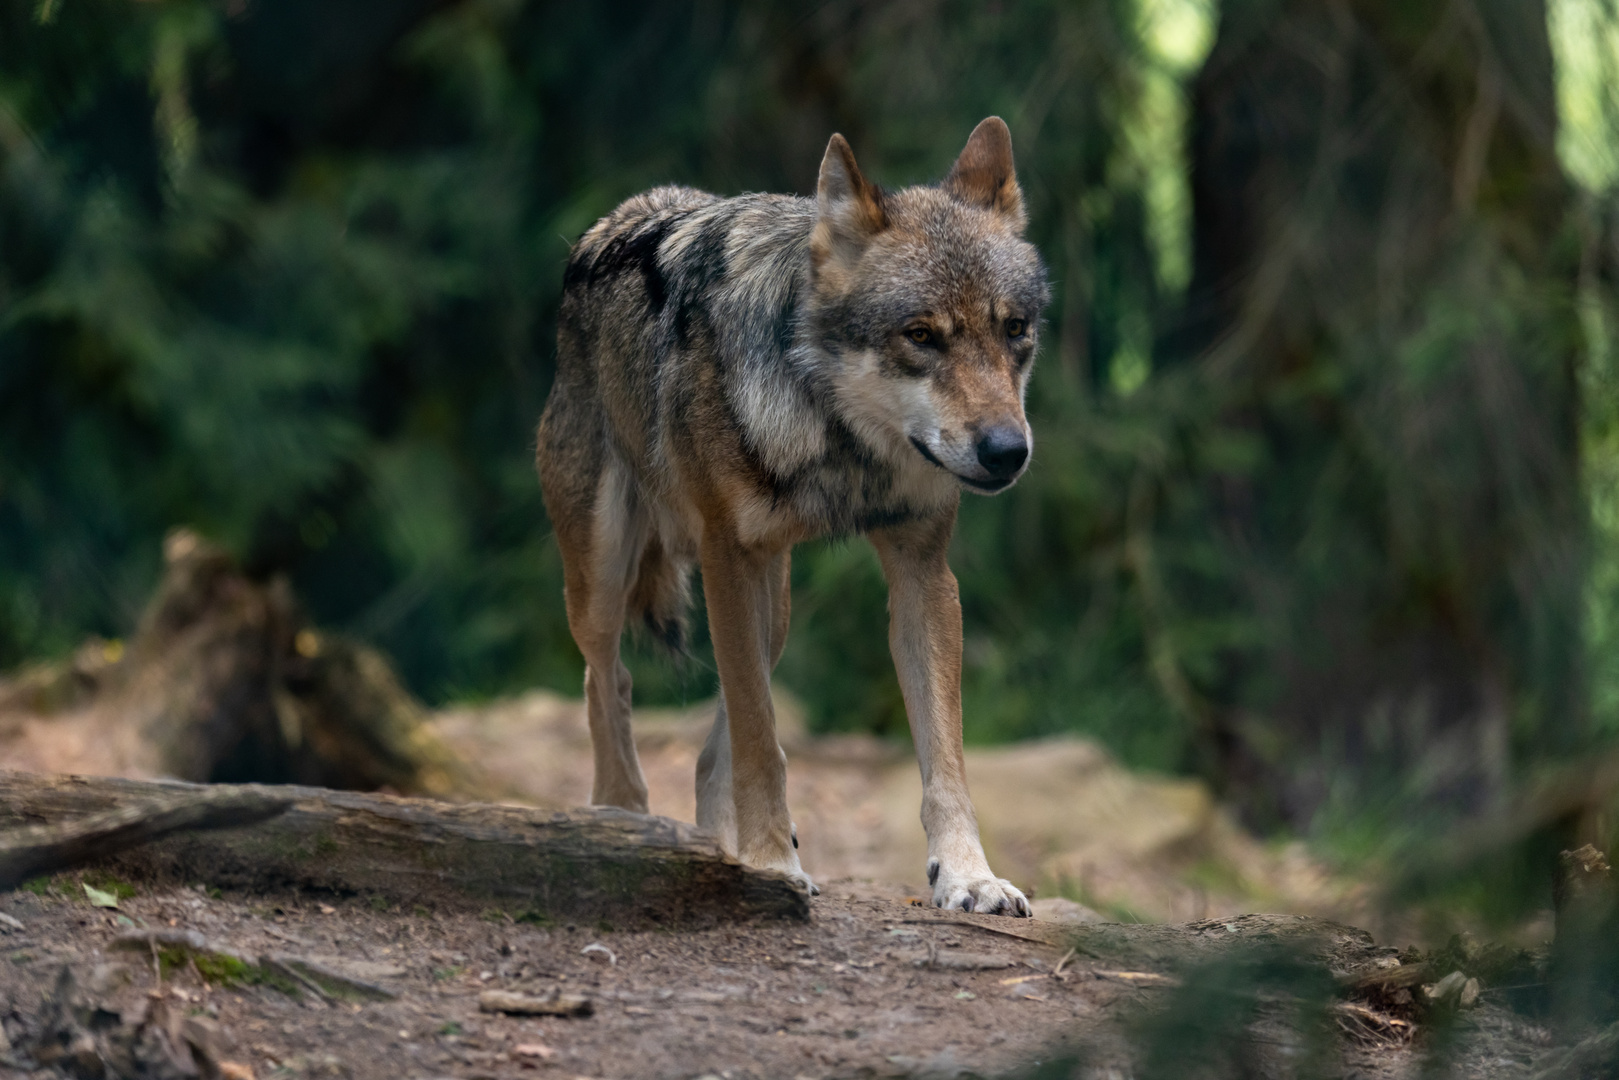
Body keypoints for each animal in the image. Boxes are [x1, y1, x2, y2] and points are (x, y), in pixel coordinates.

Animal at [537, 117, 1048, 915]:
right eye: (920, 335)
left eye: (1015, 328)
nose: (1006, 452)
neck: (837, 439)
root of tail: (610, 222)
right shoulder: (726, 559)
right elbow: (759, 742)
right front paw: (774, 865)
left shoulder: (923, 574)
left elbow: (943, 761)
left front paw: (969, 877)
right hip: (604, 576)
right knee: (607, 684)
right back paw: (624, 822)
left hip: (772, 605)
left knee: (708, 744)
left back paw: (714, 850)